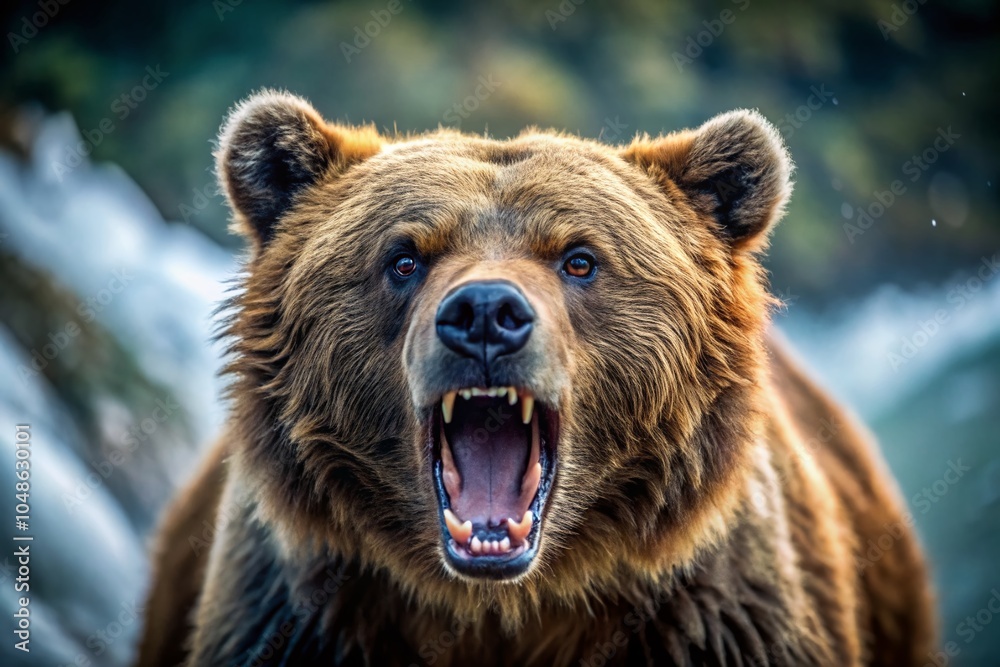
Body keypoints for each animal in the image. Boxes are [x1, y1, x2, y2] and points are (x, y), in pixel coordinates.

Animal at [137, 90, 935, 666]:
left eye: (579, 258)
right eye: (404, 257)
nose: (485, 314)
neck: (506, 603)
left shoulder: (716, 617)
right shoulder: (295, 619)